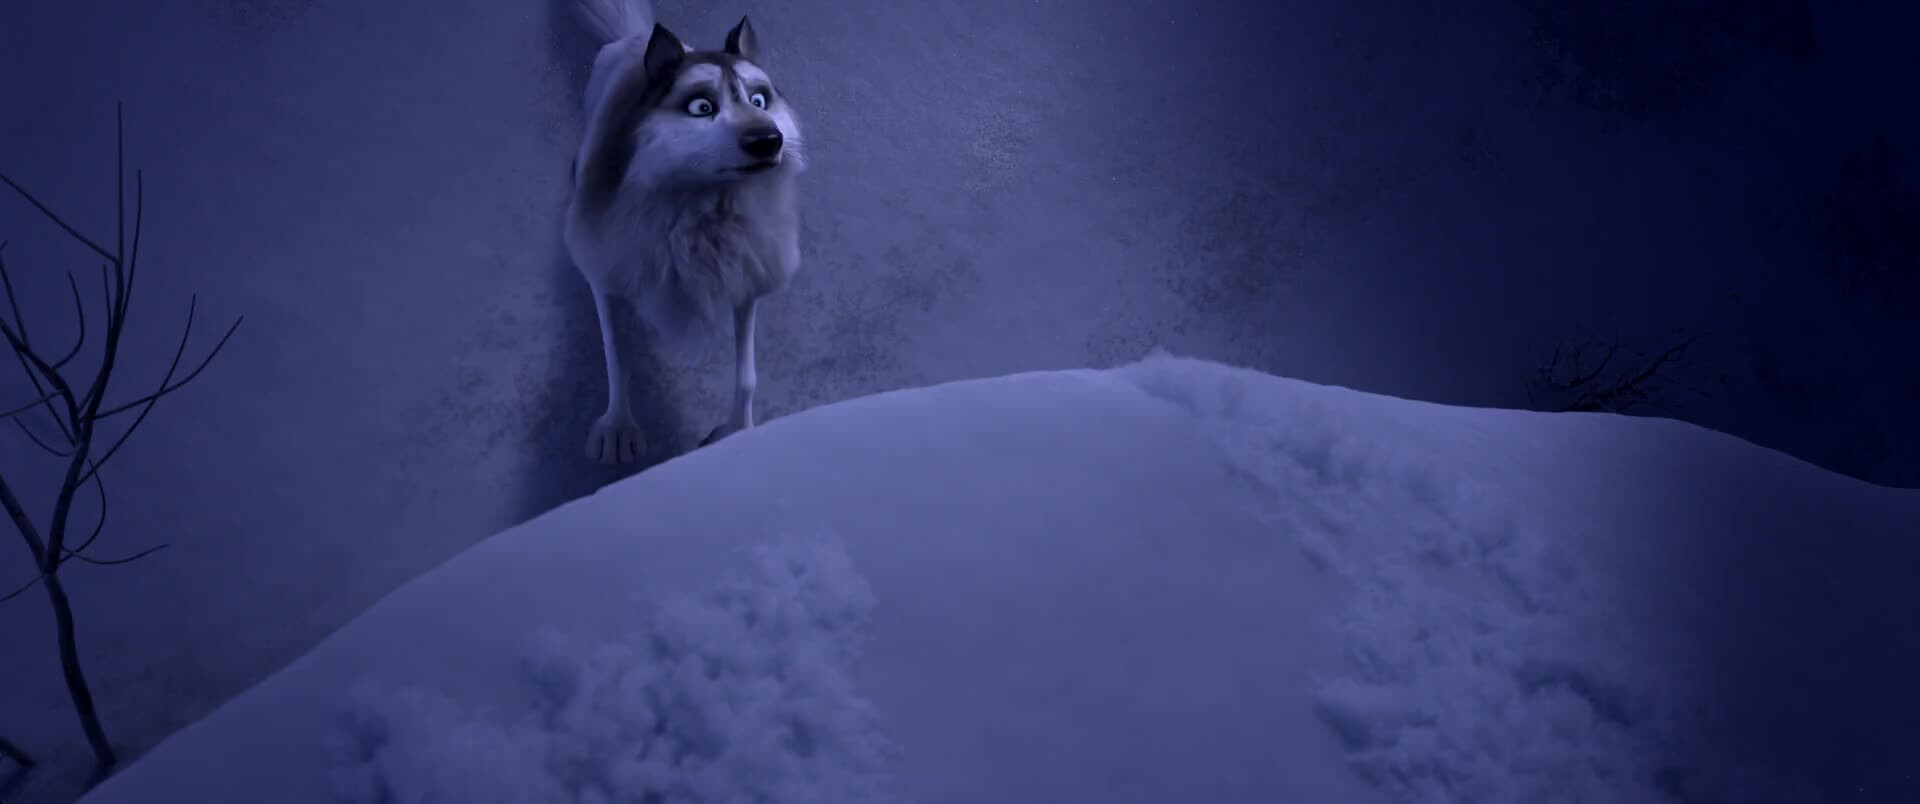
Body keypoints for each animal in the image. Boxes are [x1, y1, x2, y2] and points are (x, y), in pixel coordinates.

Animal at [564, 0, 808, 463]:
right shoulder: (605, 271)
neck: (703, 211)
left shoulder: (747, 275)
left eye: (759, 100)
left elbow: (747, 376)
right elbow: (615, 353)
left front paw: (737, 430)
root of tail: (638, 39)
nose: (769, 140)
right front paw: (618, 425)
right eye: (701, 108)